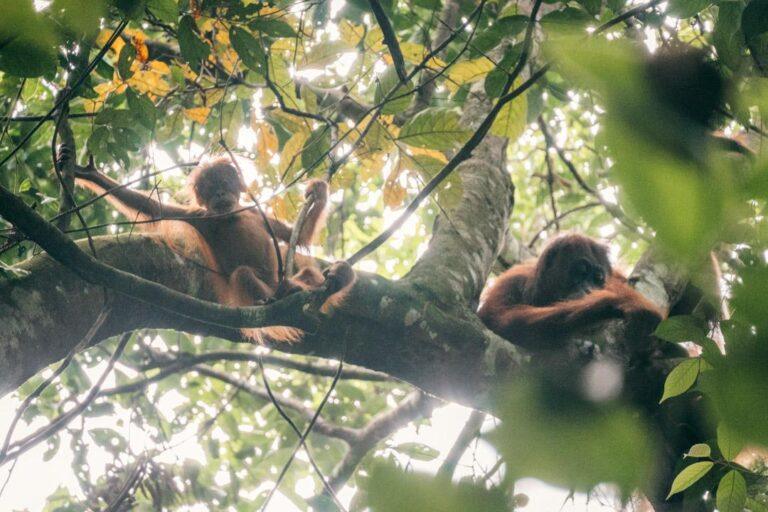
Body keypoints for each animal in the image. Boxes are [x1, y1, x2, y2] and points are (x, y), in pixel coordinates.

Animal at [74, 157, 355, 337]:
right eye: (210, 189)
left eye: (225, 184)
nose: (219, 194)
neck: (230, 216)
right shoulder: (200, 216)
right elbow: (154, 208)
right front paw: (89, 175)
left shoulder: (255, 213)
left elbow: (301, 236)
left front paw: (319, 191)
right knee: (243, 274)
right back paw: (286, 293)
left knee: (314, 274)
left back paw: (334, 281)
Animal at [477, 234, 665, 350]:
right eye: (580, 272)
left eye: (597, 279)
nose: (589, 290)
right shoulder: (511, 283)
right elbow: (499, 318)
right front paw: (616, 304)